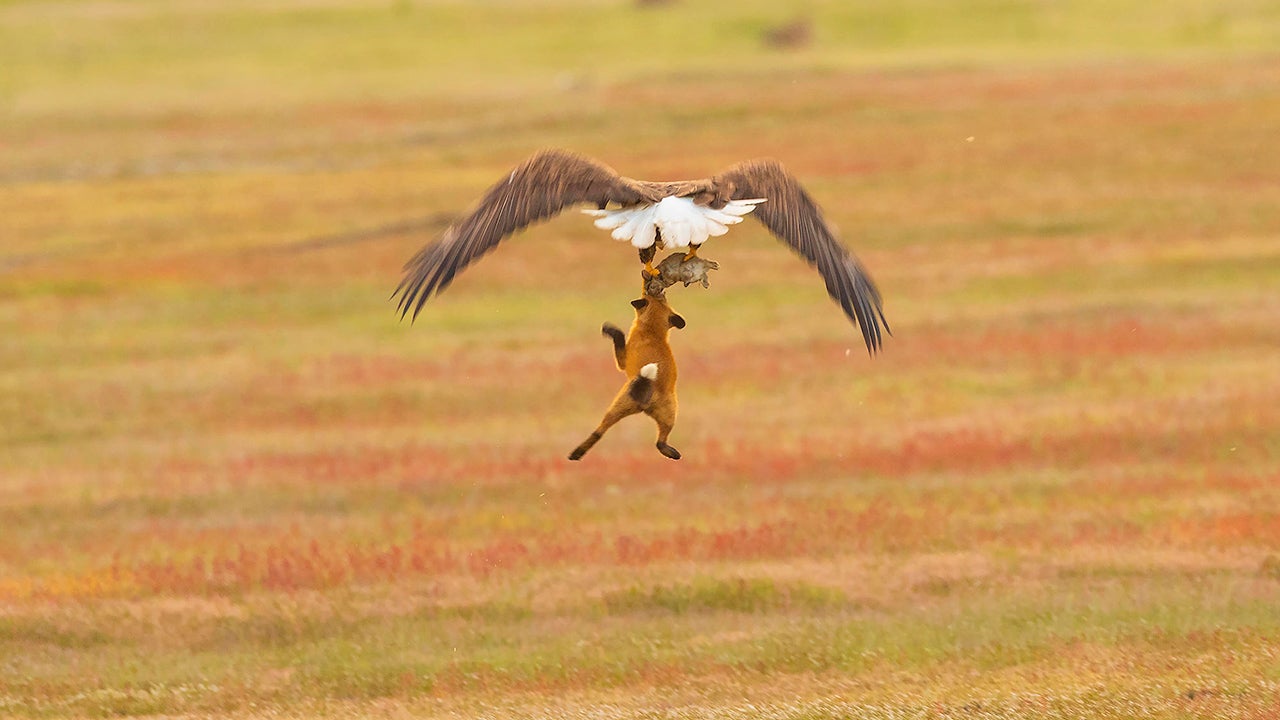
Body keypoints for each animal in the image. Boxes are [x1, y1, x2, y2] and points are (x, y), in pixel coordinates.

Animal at [569, 293, 686, 461]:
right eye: (664, 299)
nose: (661, 292)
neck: (652, 332)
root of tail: (646, 402)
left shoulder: (623, 361)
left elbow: (619, 336)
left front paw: (609, 329)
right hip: (669, 414)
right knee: (659, 442)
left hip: (617, 406)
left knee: (599, 432)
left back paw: (576, 453)